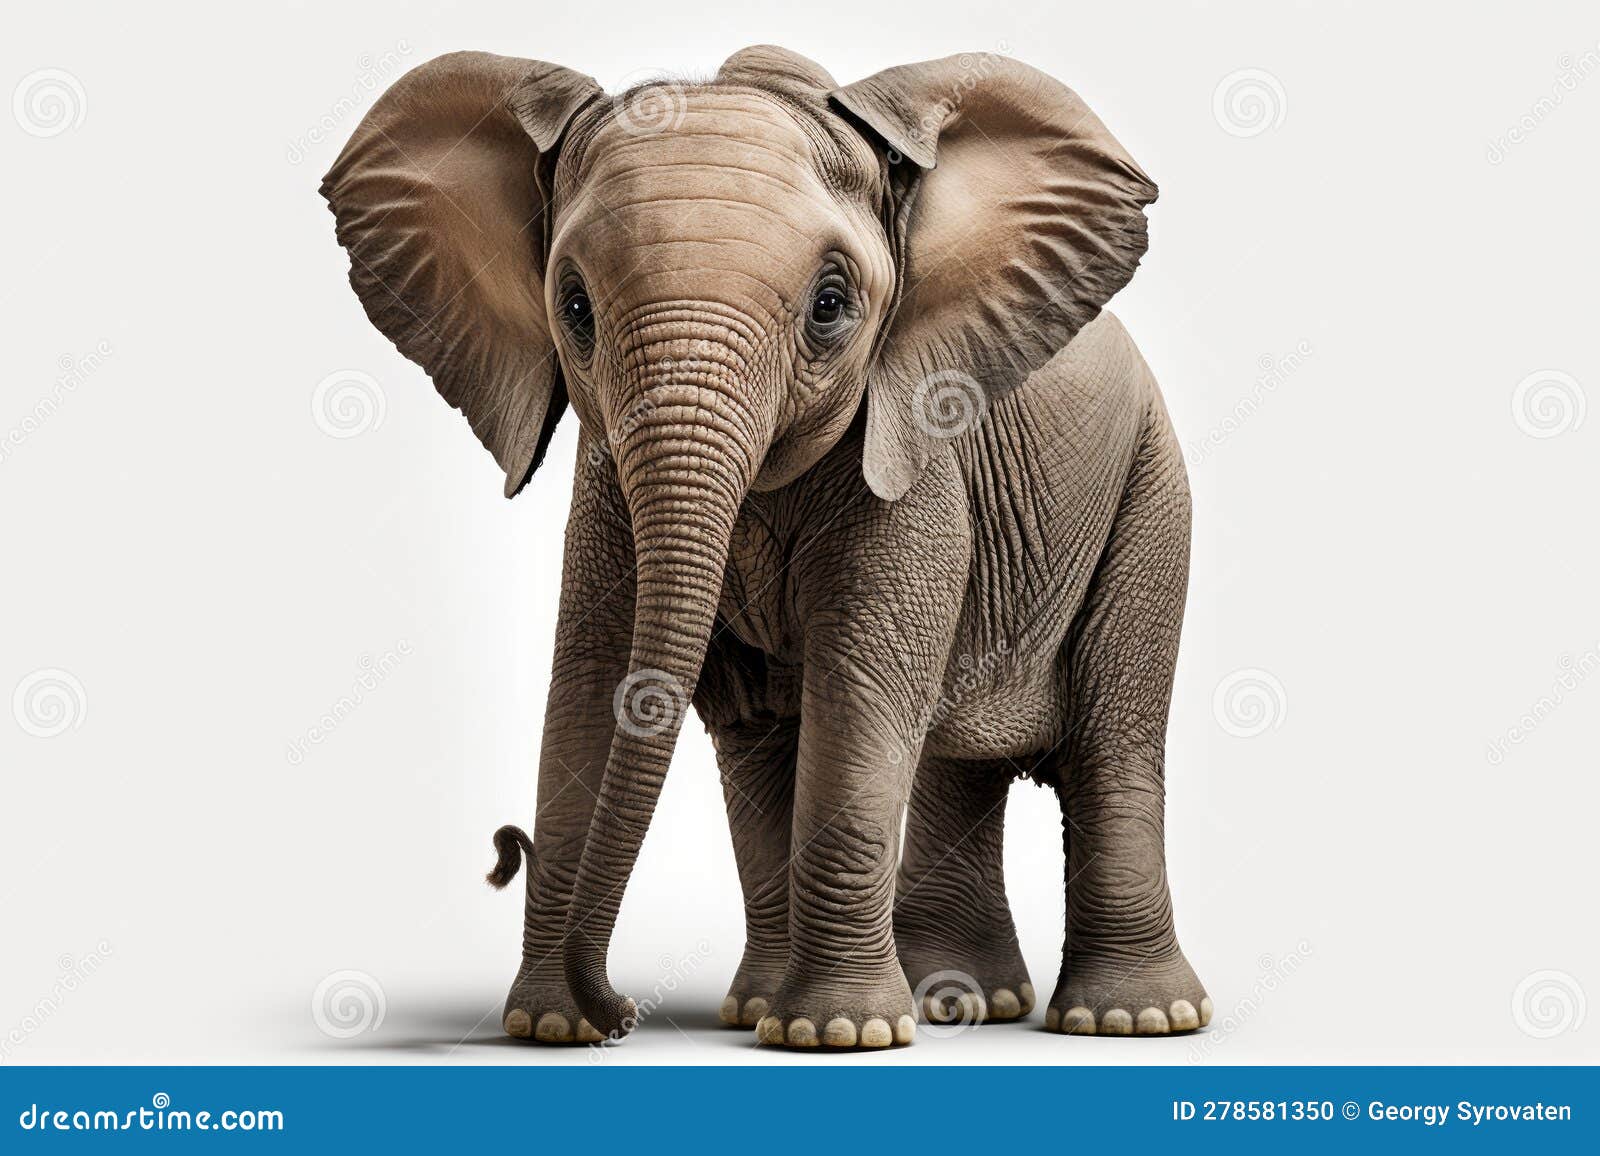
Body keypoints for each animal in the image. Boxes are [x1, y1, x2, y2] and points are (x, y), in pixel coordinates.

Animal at [321, 44, 1210, 1050]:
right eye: (574, 308)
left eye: (831, 305)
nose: (621, 1015)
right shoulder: (605, 473)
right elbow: (598, 682)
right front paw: (555, 1028)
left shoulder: (911, 451)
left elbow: (858, 693)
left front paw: (837, 1036)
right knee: (923, 759)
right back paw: (958, 1005)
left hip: (1151, 495)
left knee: (1110, 742)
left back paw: (1133, 1018)